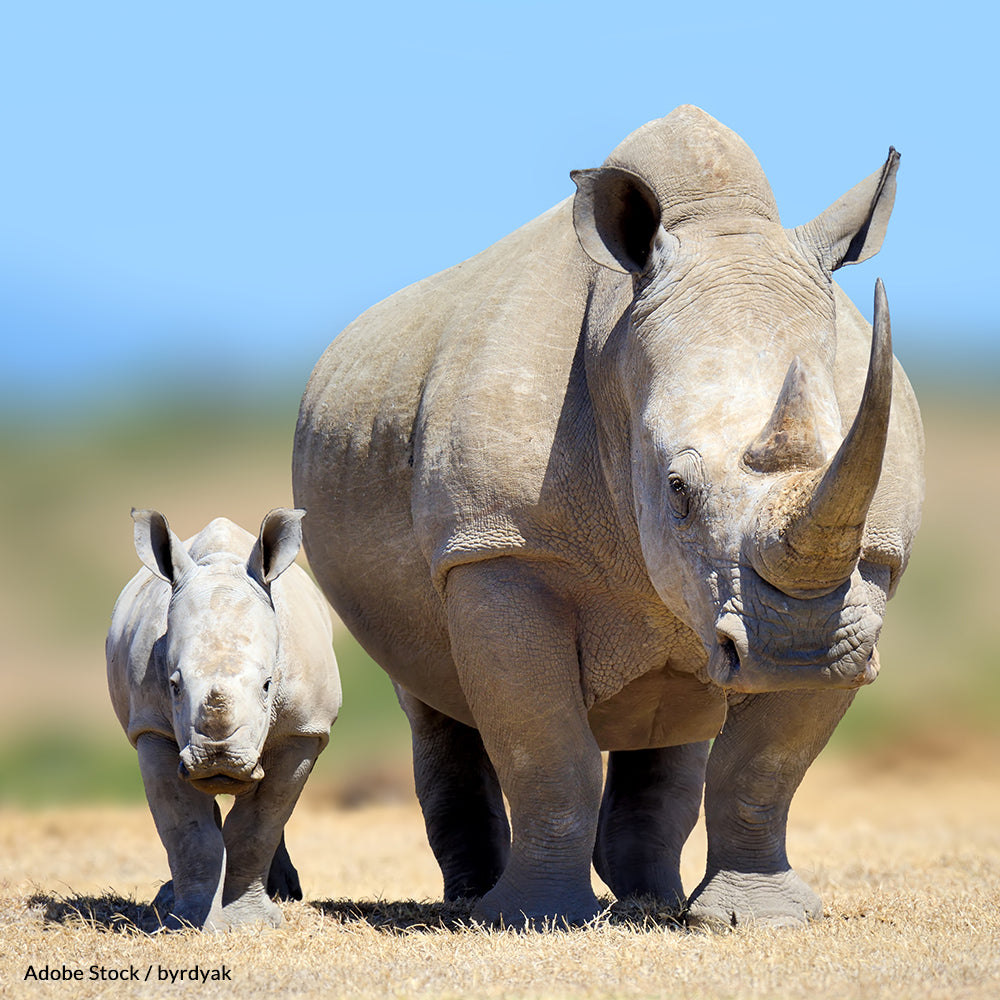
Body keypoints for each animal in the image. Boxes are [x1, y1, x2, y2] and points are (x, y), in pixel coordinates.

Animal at [106, 508, 341, 930]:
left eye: (267, 685)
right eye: (174, 685)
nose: (218, 759)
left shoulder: (303, 729)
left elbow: (261, 822)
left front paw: (251, 924)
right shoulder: (151, 727)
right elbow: (185, 826)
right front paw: (187, 920)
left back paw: (284, 893)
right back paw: (168, 897)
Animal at [292, 106, 924, 929]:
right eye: (677, 489)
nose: (800, 651)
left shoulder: (866, 565)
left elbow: (764, 766)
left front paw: (759, 919)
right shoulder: (499, 547)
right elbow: (545, 750)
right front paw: (532, 920)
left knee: (679, 702)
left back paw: (652, 902)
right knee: (431, 695)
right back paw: (473, 903)